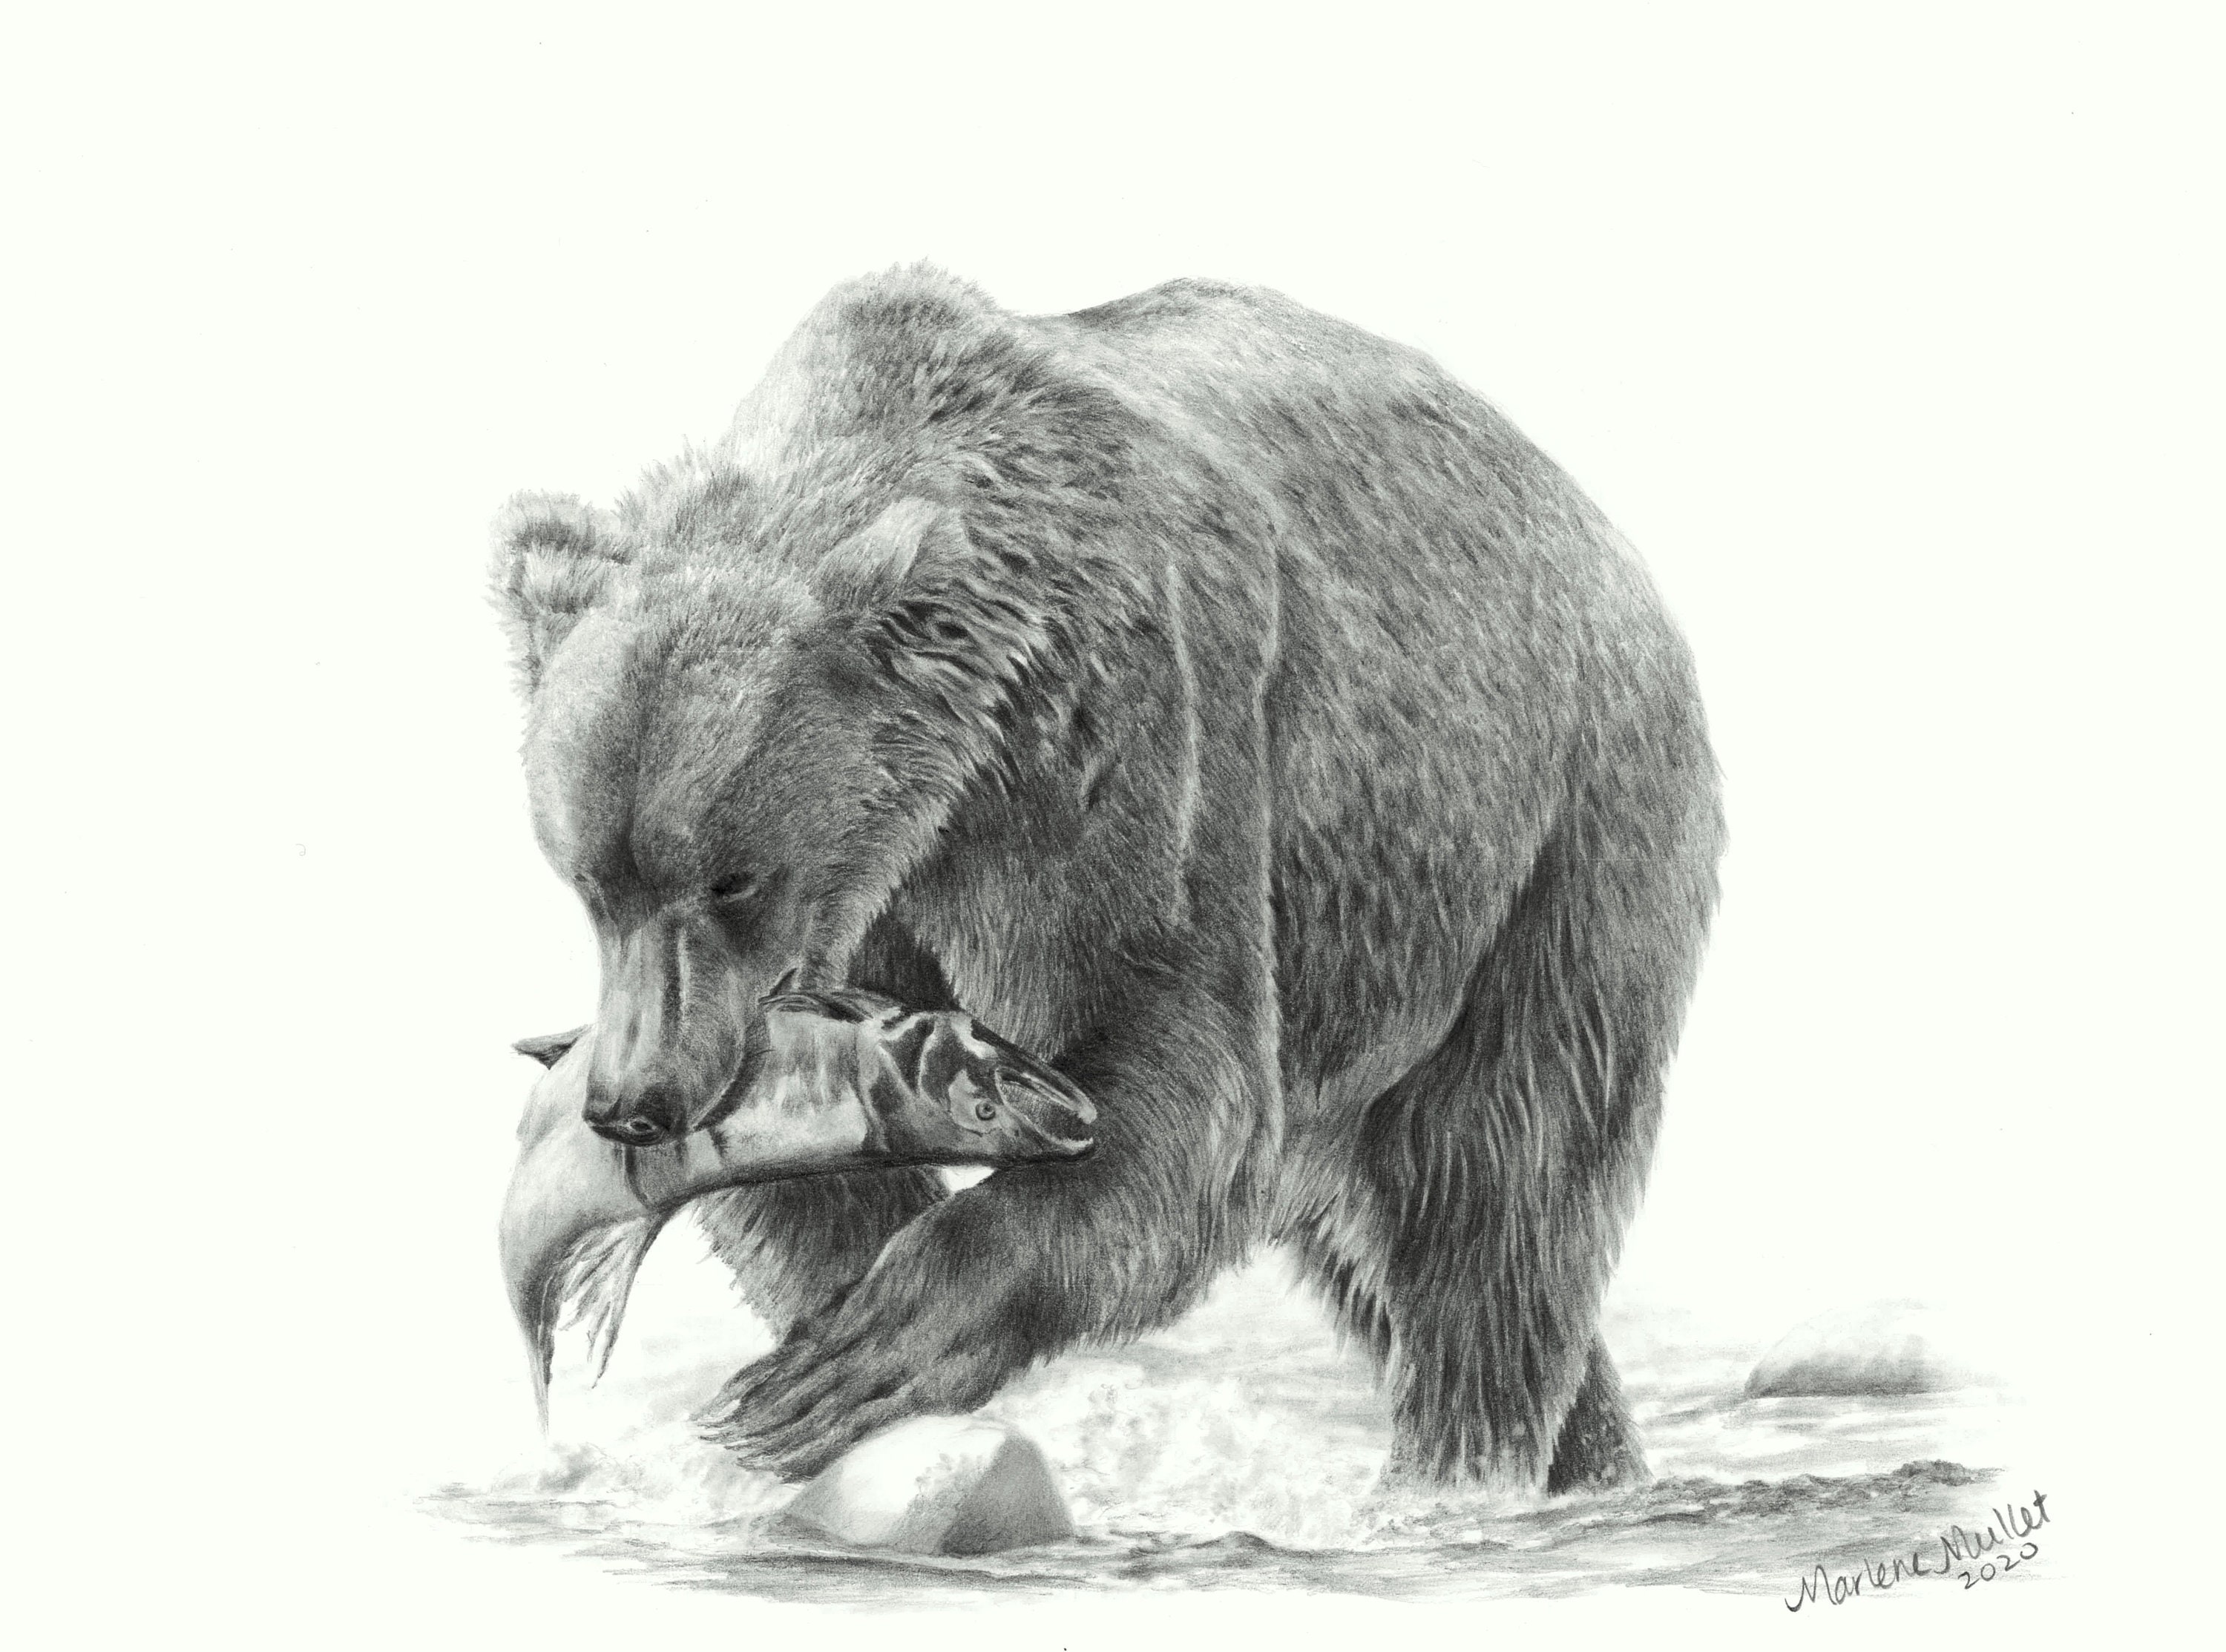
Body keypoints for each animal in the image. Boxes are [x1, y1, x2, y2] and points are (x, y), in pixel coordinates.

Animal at [492, 265, 1724, 1493]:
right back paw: (1591, 1457)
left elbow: (1173, 1058)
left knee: (1497, 1196)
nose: (633, 1100)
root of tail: (1593, 524)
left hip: (1550, 839)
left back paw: (1452, 1470)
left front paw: (875, 1344)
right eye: (591, 878)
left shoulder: (1115, 728)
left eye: (734, 875)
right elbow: (798, 1181)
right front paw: (815, 1357)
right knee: (1379, 1244)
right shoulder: (885, 899)